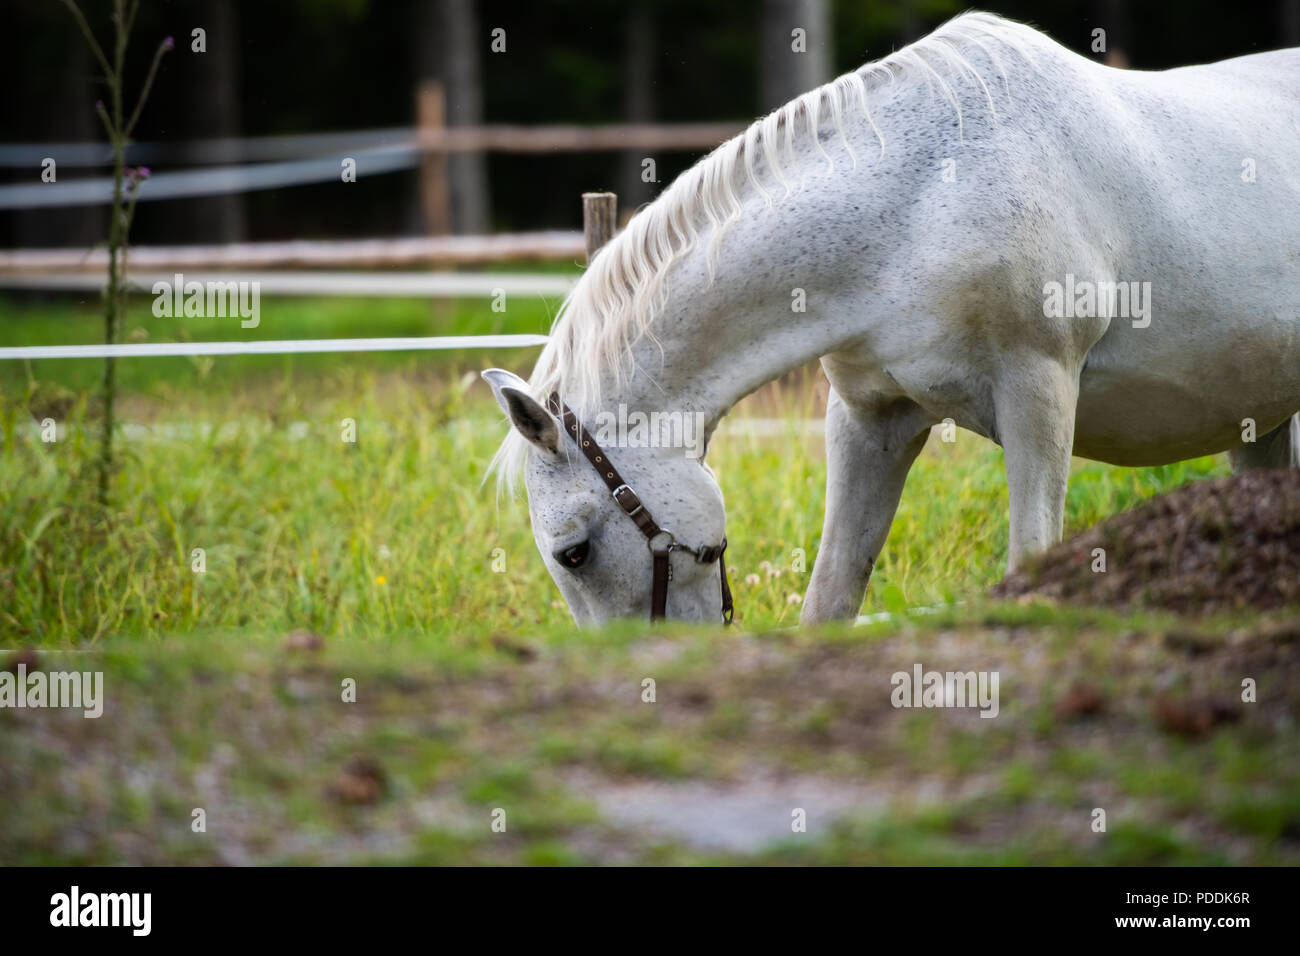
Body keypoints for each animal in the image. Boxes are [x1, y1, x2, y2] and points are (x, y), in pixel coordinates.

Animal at [485, 11, 1300, 626]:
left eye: (575, 552)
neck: (924, 198)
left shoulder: (1039, 396)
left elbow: (1029, 561)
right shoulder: (870, 417)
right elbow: (830, 600)